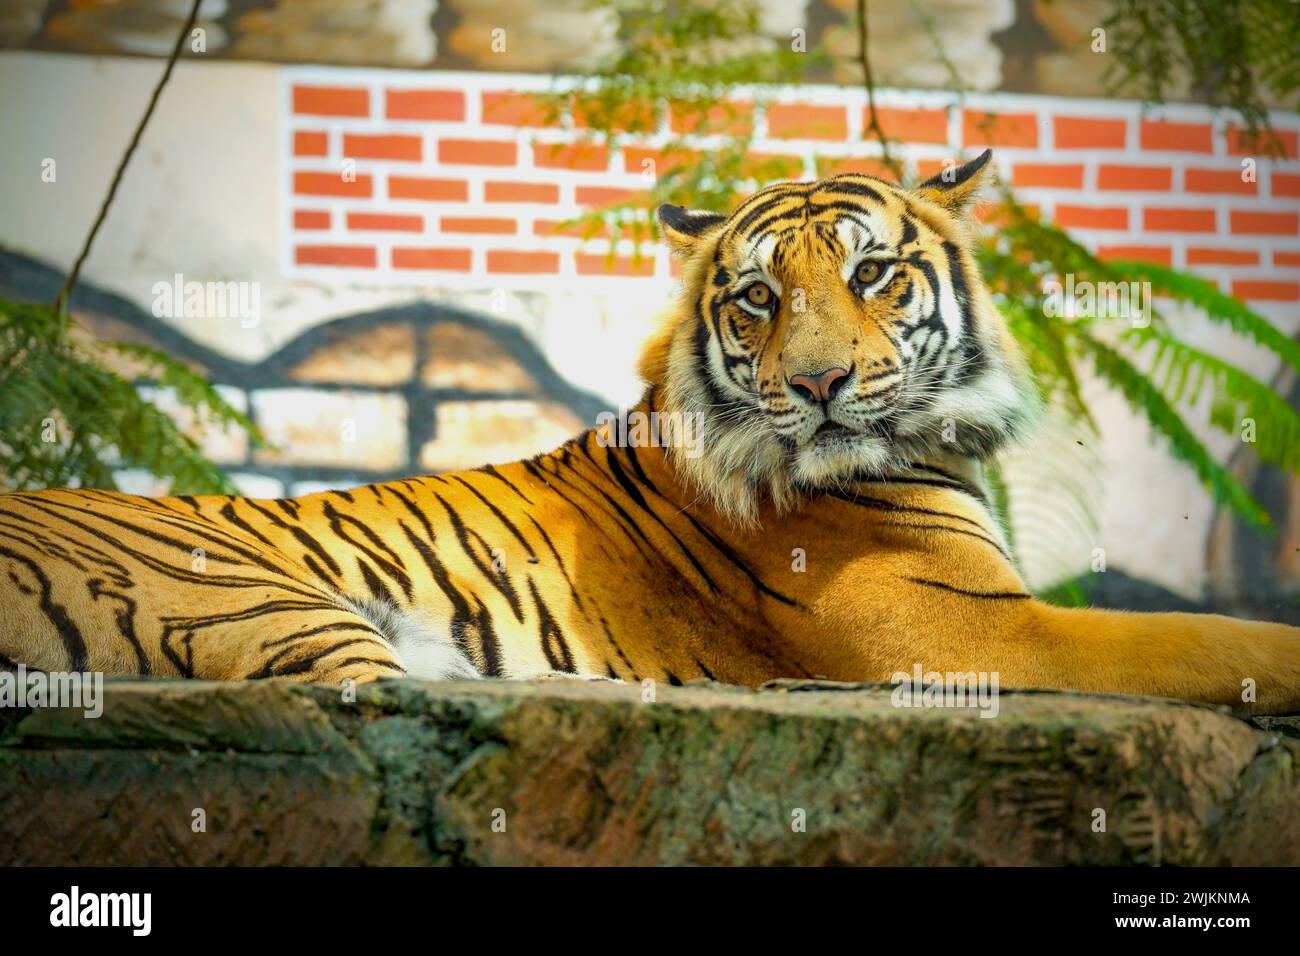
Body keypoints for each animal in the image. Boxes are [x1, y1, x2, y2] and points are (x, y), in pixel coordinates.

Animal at [3, 148, 1299, 711]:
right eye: (758, 297)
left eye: (871, 274)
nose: (820, 383)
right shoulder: (980, 628)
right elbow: (1210, 640)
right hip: (263, 604)